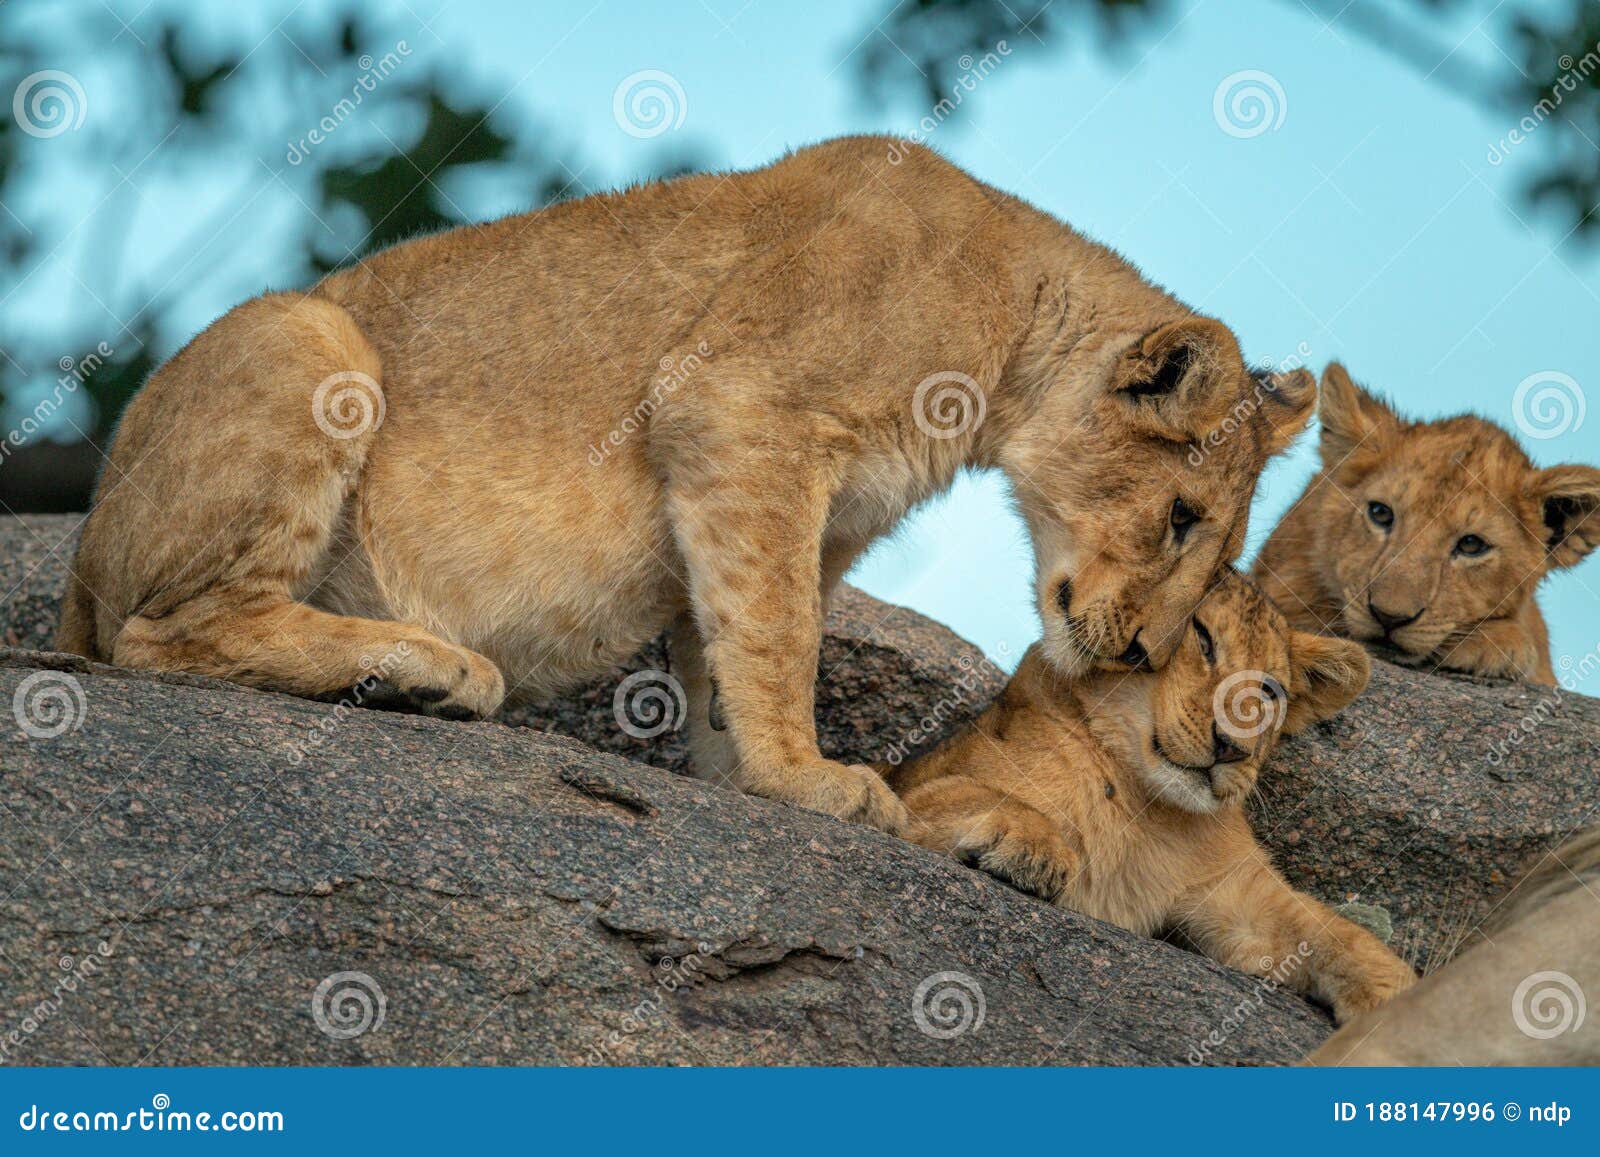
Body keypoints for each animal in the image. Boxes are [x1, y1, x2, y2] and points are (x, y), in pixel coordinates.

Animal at [57, 136, 1312, 834]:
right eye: (1179, 519)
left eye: (1215, 548)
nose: (1142, 649)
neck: (1011, 331)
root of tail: (81, 552)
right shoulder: (741, 408)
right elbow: (780, 632)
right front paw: (810, 777)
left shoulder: (805, 503)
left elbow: (731, 638)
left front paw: (744, 774)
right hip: (310, 337)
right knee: (162, 631)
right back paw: (420, 667)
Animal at [885, 568, 1416, 1024]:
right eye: (1203, 639)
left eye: (1271, 692)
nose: (1232, 747)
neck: (1146, 804)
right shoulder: (915, 789)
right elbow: (968, 794)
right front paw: (1037, 847)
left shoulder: (1232, 895)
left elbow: (1329, 930)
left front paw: (1398, 1001)